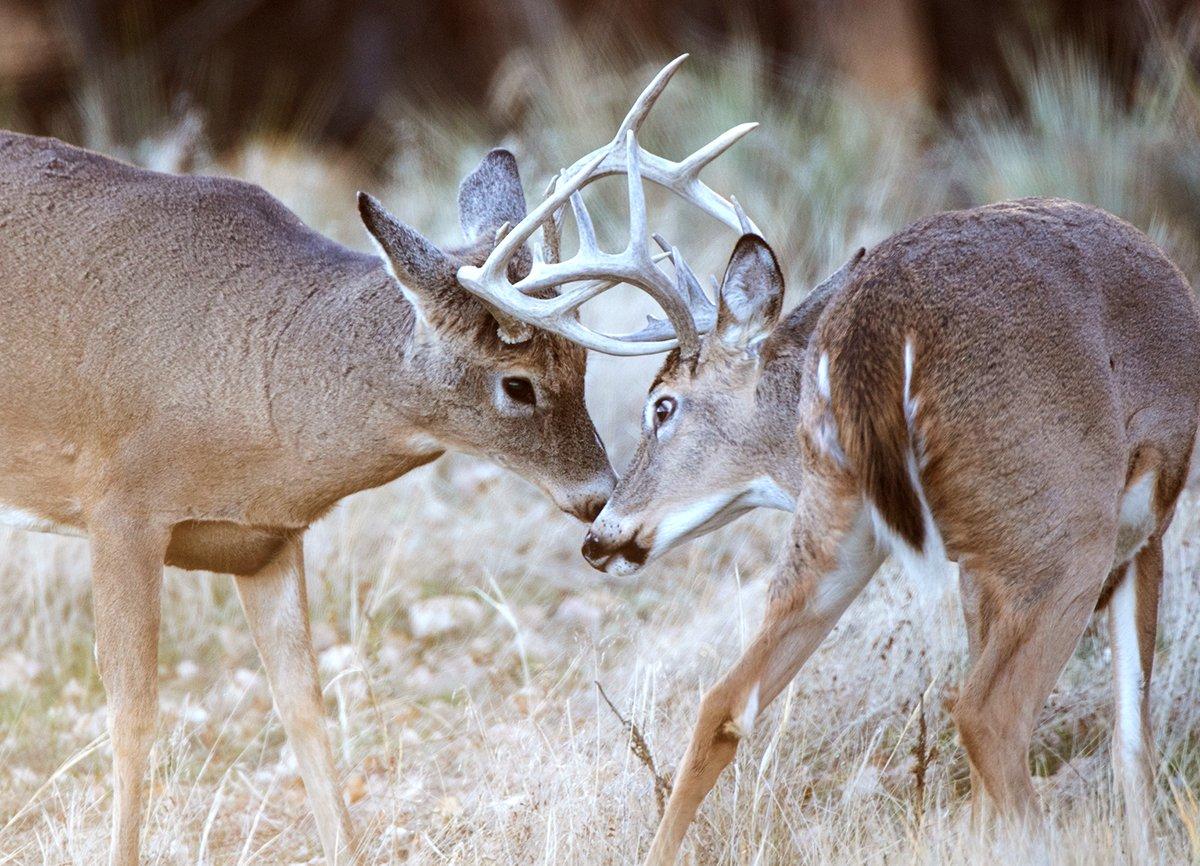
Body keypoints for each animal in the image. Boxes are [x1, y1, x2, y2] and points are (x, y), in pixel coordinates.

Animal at [0, 57, 753, 858]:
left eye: (582, 363)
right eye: (517, 383)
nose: (596, 495)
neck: (259, 383)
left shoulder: (268, 540)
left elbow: (304, 708)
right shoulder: (120, 506)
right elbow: (132, 716)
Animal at [580, 200, 1200, 858]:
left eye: (663, 406)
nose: (596, 538)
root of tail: (873, 329)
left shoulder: (978, 567)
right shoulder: (1146, 523)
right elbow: (1133, 740)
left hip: (841, 517)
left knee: (723, 700)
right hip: (1067, 523)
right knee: (990, 713)